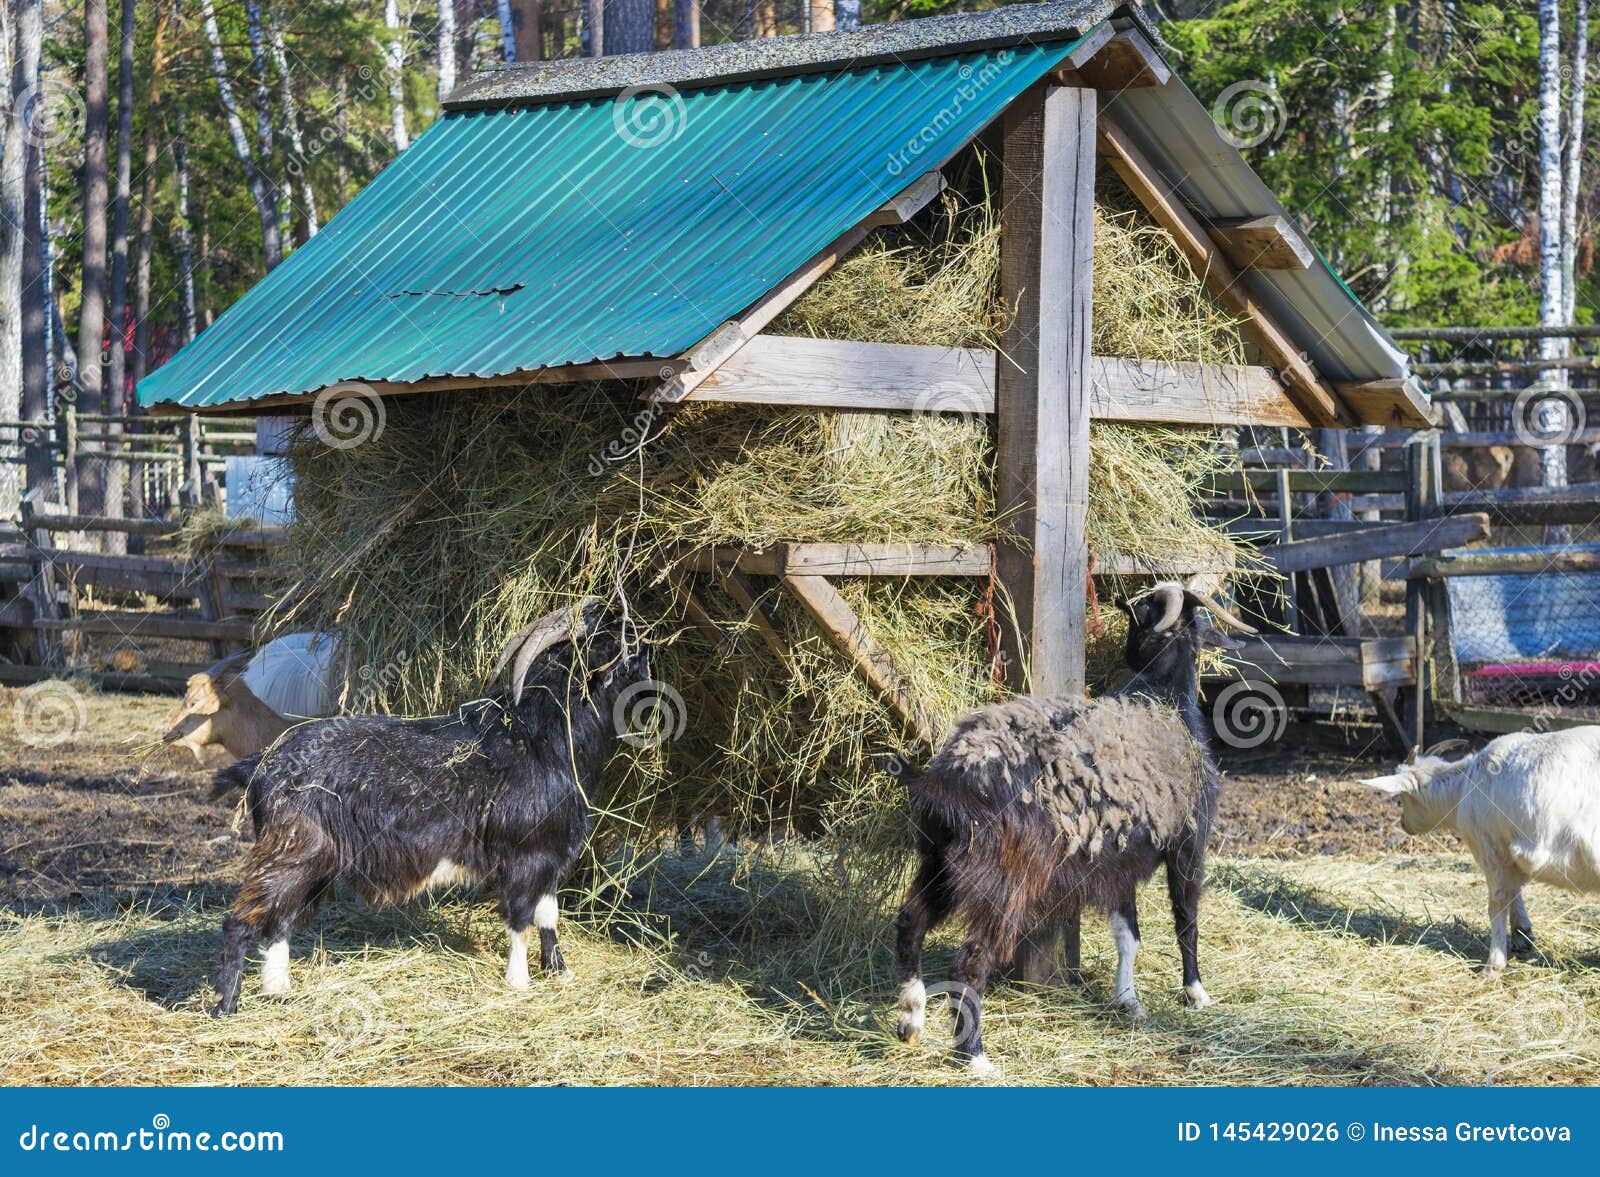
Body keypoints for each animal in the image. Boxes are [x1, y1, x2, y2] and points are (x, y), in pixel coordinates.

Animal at [211, 599, 648, 1015]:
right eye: (618, 639)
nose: (645, 641)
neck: (544, 737)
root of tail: (261, 765)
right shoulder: (526, 857)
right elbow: (521, 918)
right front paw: (519, 982)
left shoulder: (552, 853)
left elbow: (547, 915)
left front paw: (558, 970)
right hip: (290, 851)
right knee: (241, 920)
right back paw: (226, 1007)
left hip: (314, 861)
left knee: (280, 920)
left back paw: (278, 990)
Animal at [892, 583, 1251, 1072]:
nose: (1126, 604)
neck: (1162, 695)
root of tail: (954, 778)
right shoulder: (1188, 843)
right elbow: (1186, 918)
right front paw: (1195, 992)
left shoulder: (1119, 858)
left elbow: (1128, 935)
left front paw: (1128, 1000)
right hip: (1007, 884)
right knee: (970, 962)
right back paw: (975, 1056)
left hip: (939, 863)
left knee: (911, 923)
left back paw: (911, 1020)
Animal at [1360, 727, 1600, 973]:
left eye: (1402, 799)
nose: (1403, 824)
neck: (1463, 787)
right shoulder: (1509, 848)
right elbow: (1515, 890)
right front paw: (1522, 934)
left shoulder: (1490, 847)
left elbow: (1497, 902)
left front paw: (1493, 965)